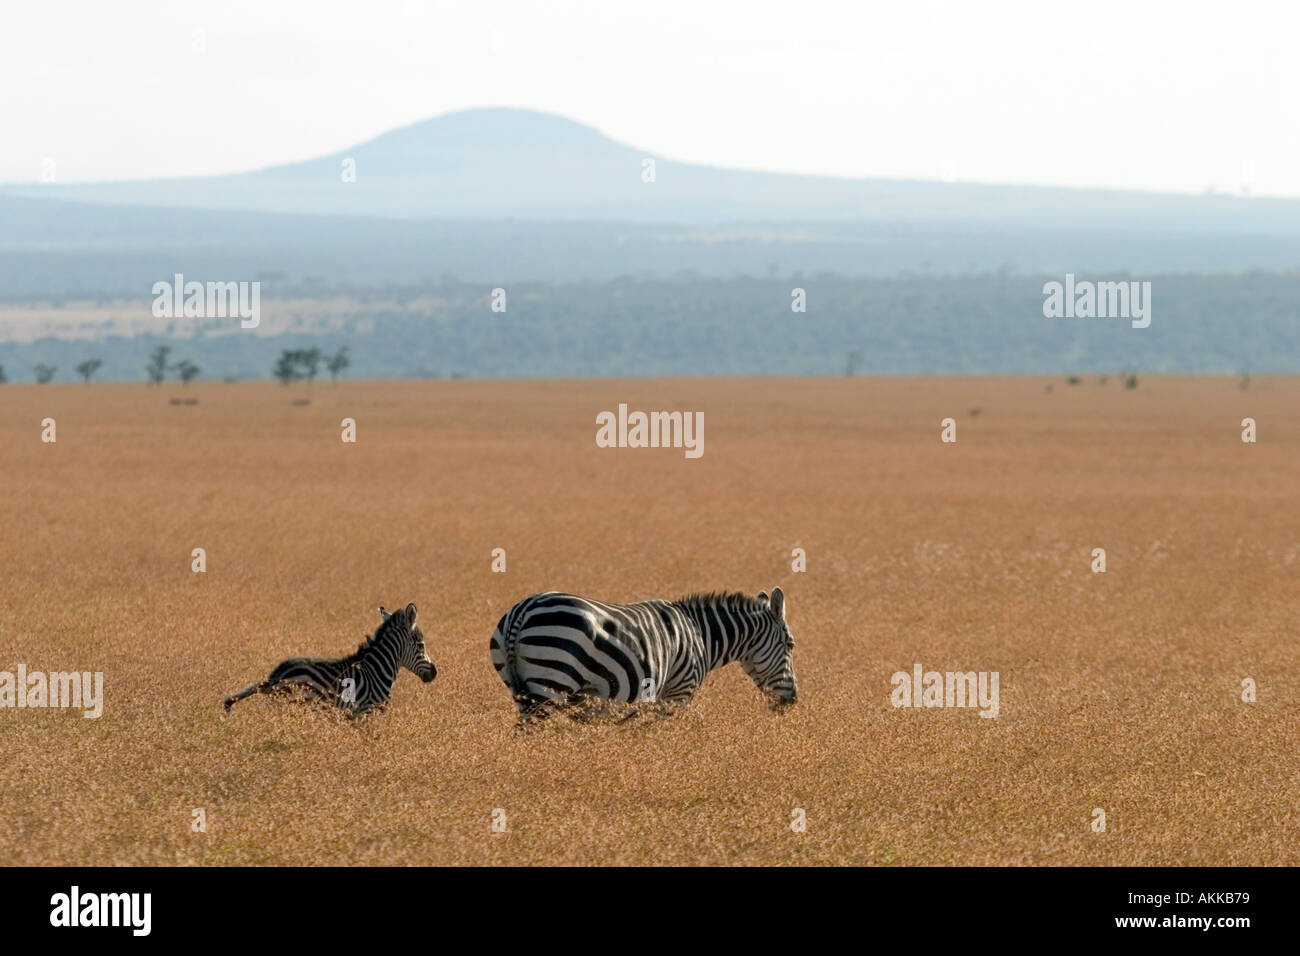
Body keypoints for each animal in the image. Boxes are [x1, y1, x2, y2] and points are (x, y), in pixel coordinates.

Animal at [489, 587, 797, 721]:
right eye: (791, 645)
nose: (791, 702)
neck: (700, 636)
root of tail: (523, 610)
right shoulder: (677, 694)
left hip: (521, 688)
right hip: (550, 685)